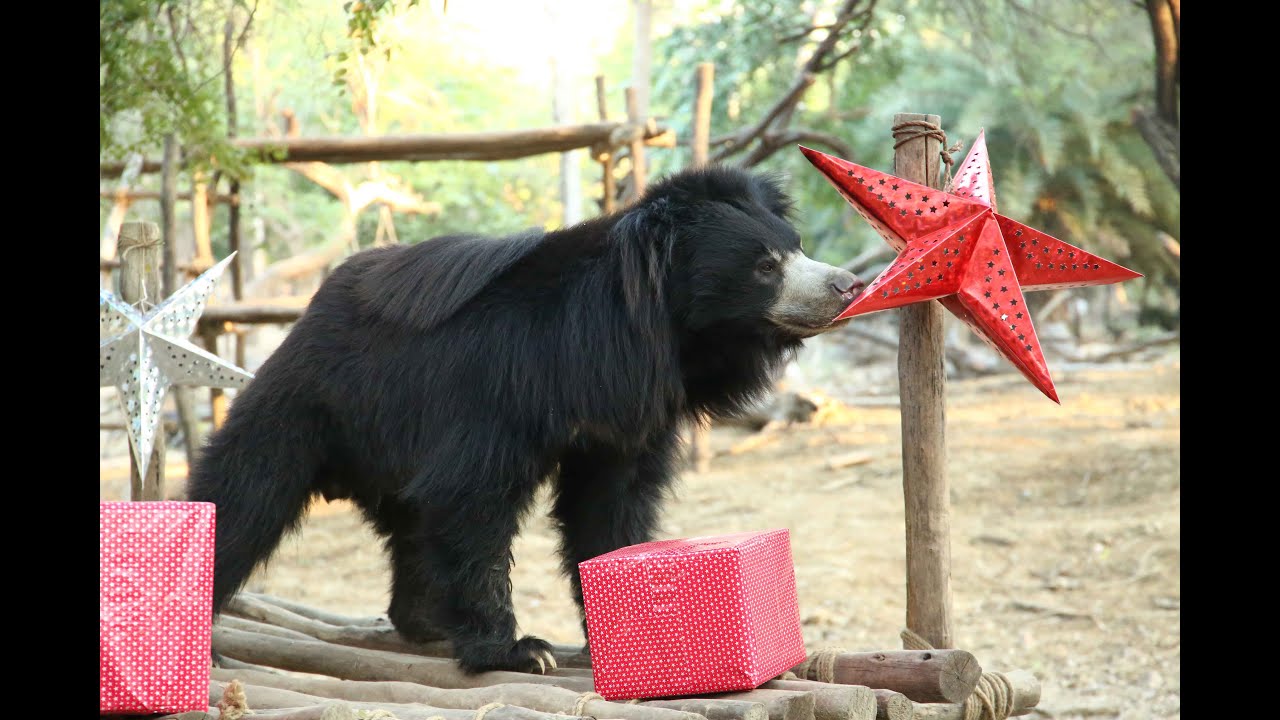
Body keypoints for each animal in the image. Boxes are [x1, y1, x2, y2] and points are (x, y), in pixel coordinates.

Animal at [186, 164, 864, 675]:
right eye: (764, 266)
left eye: (797, 247)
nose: (848, 285)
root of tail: (312, 308)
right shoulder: (500, 387)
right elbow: (471, 498)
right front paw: (517, 651)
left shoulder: (624, 417)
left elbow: (609, 507)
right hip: (311, 402)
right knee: (245, 494)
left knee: (408, 526)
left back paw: (423, 622)